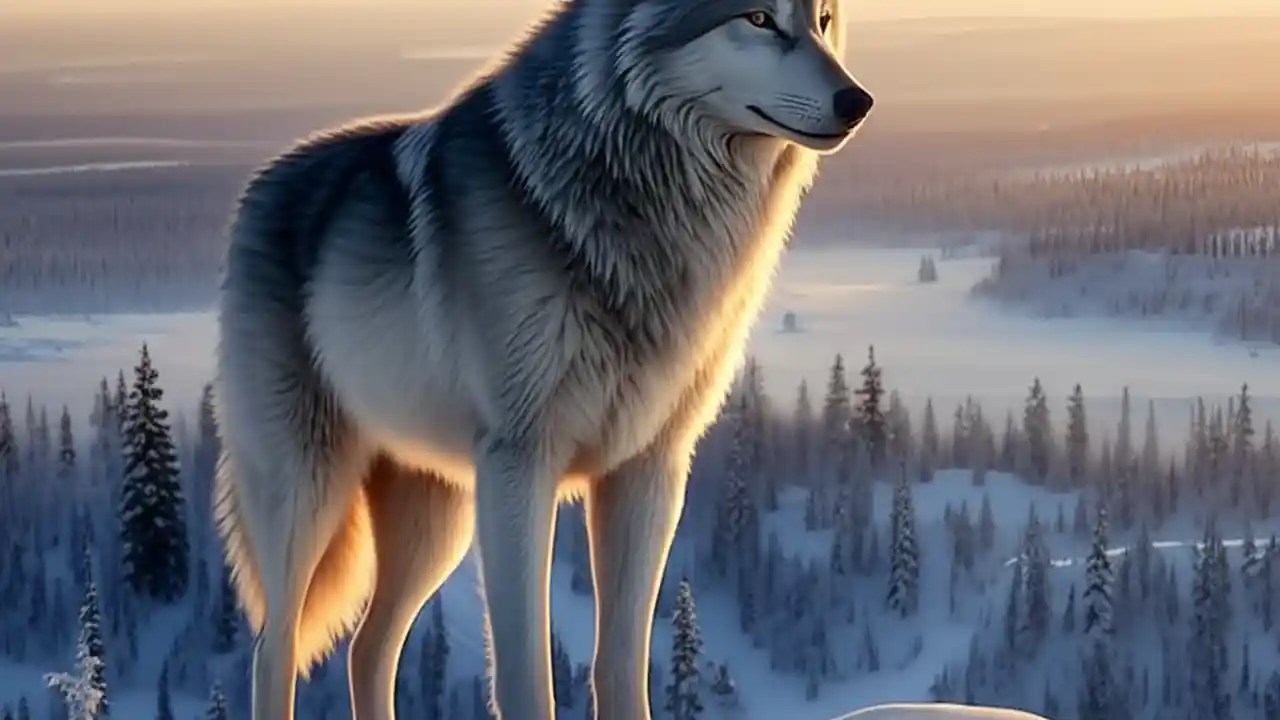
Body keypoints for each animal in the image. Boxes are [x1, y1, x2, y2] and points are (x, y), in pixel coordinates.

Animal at [214, 0, 872, 717]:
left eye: (824, 19)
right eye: (756, 18)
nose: (858, 101)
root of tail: (263, 183)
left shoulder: (650, 467)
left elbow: (621, 665)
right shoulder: (521, 464)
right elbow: (527, 671)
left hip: (434, 523)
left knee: (368, 646)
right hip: (308, 495)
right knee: (273, 648)